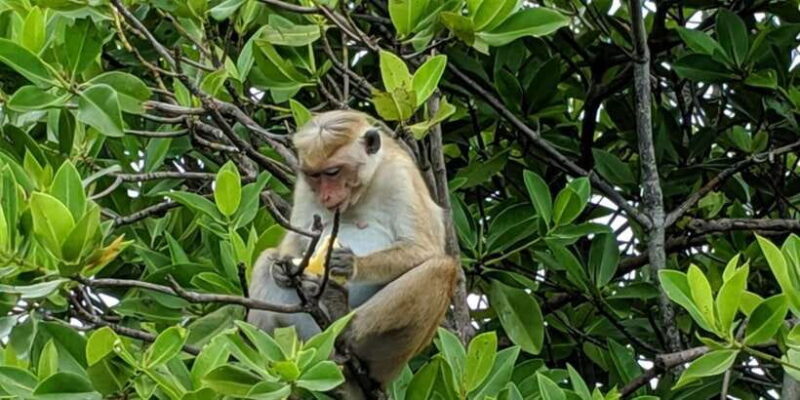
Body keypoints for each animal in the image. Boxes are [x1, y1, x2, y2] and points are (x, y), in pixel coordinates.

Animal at [247, 110, 458, 390]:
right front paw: (281, 270)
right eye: (315, 176)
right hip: (310, 340)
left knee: (441, 269)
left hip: (387, 359)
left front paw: (350, 264)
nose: (326, 197)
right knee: (263, 260)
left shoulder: (399, 175)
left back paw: (344, 322)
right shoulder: (304, 187)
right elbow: (296, 241)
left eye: (333, 172)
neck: (367, 184)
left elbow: (424, 247)